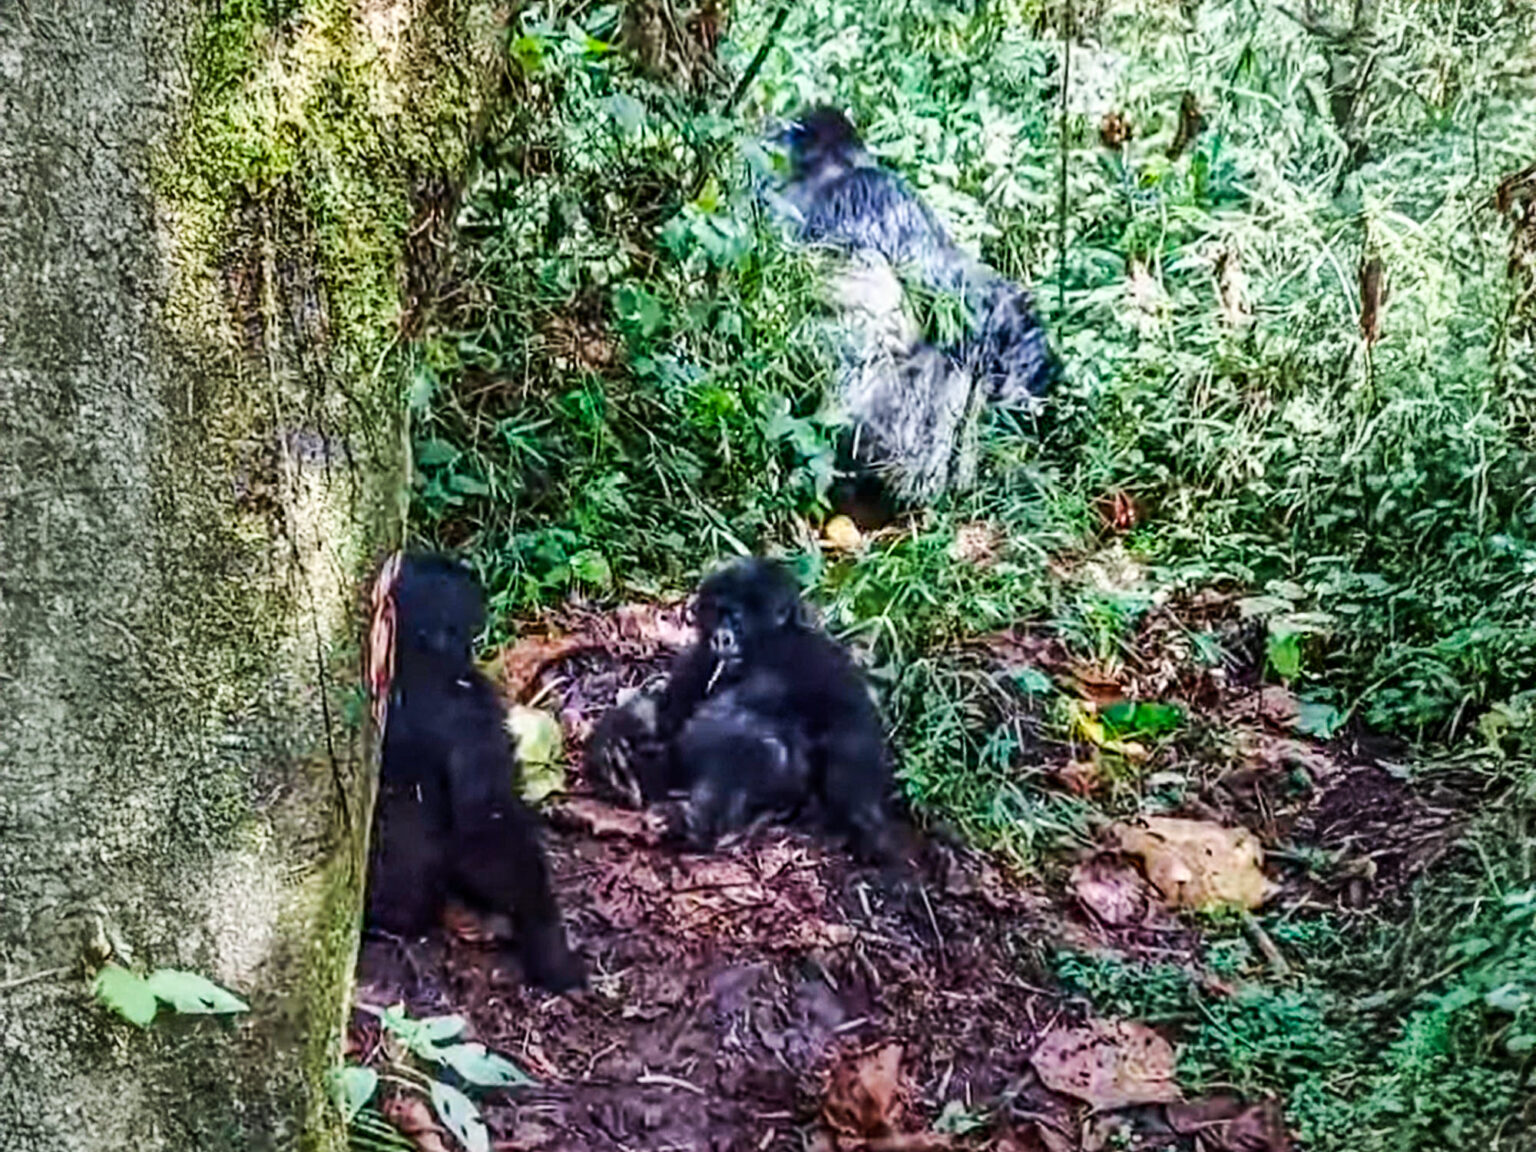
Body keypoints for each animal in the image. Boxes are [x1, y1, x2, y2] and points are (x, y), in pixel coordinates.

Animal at [585, 558, 898, 862]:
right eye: (717, 613)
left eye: (735, 618)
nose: (721, 637)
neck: (769, 649)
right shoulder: (700, 658)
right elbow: (668, 714)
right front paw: (611, 740)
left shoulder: (822, 660)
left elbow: (850, 731)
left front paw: (866, 824)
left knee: (764, 749)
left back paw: (692, 820)